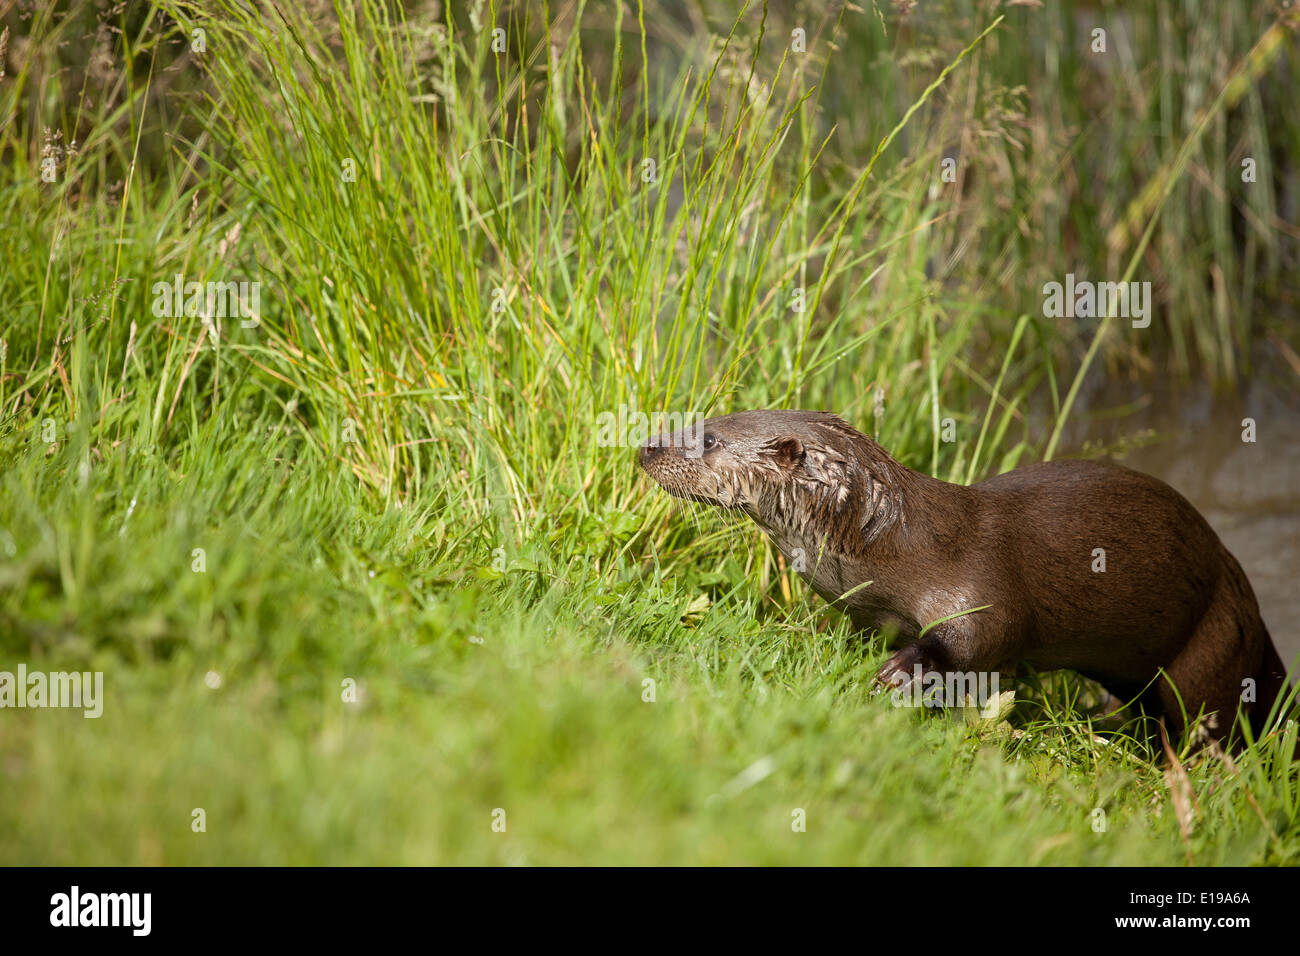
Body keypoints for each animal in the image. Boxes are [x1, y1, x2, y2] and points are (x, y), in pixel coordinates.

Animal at [639, 409, 1290, 744]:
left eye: (709, 439)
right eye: (701, 419)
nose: (645, 446)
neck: (896, 551)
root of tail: (1251, 608)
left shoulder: (981, 590)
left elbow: (981, 640)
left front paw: (902, 672)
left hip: (1213, 647)